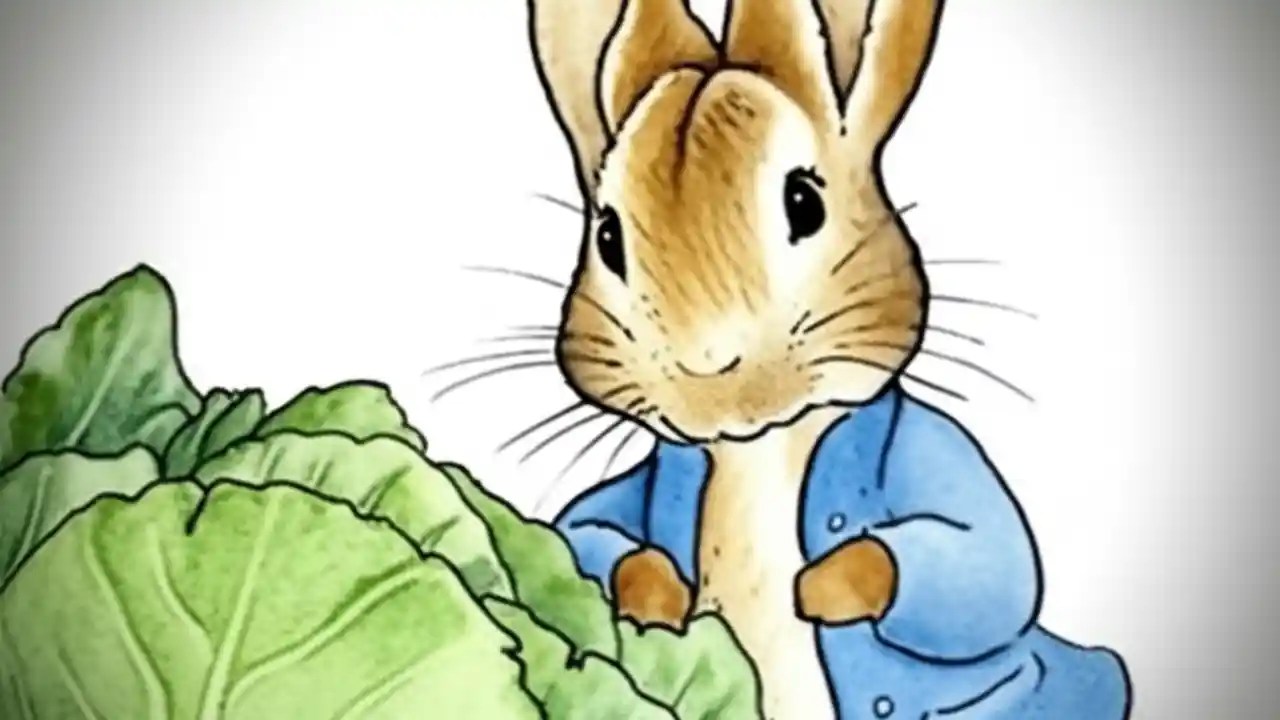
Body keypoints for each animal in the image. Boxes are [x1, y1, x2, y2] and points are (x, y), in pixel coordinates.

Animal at [525, 0, 1133, 717]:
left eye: (804, 202)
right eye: (608, 236)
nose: (708, 373)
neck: (762, 448)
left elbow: (994, 567)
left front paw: (820, 586)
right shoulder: (654, 479)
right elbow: (583, 525)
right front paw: (657, 593)